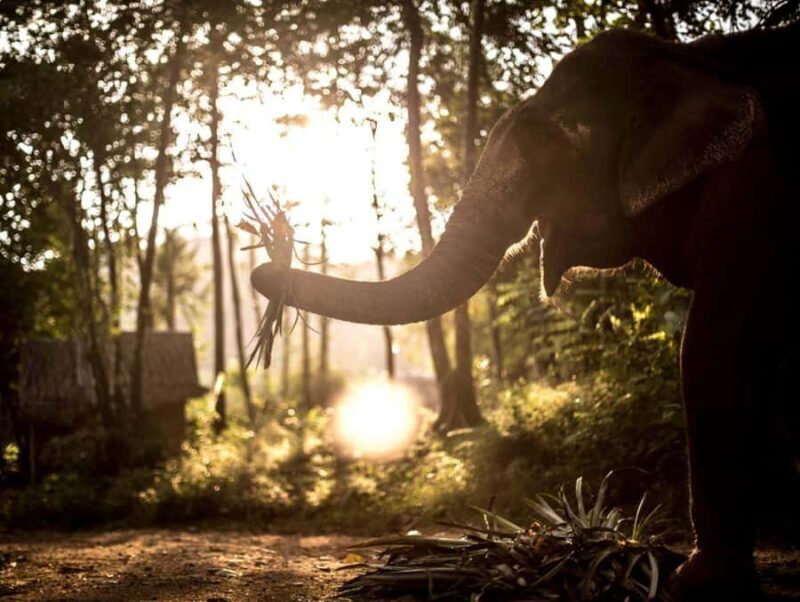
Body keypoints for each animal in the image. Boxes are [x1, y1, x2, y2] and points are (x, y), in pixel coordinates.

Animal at [253, 21, 800, 599]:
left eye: (549, 148)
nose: (272, 256)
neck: (691, 59)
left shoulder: (754, 194)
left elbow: (713, 347)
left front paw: (687, 580)